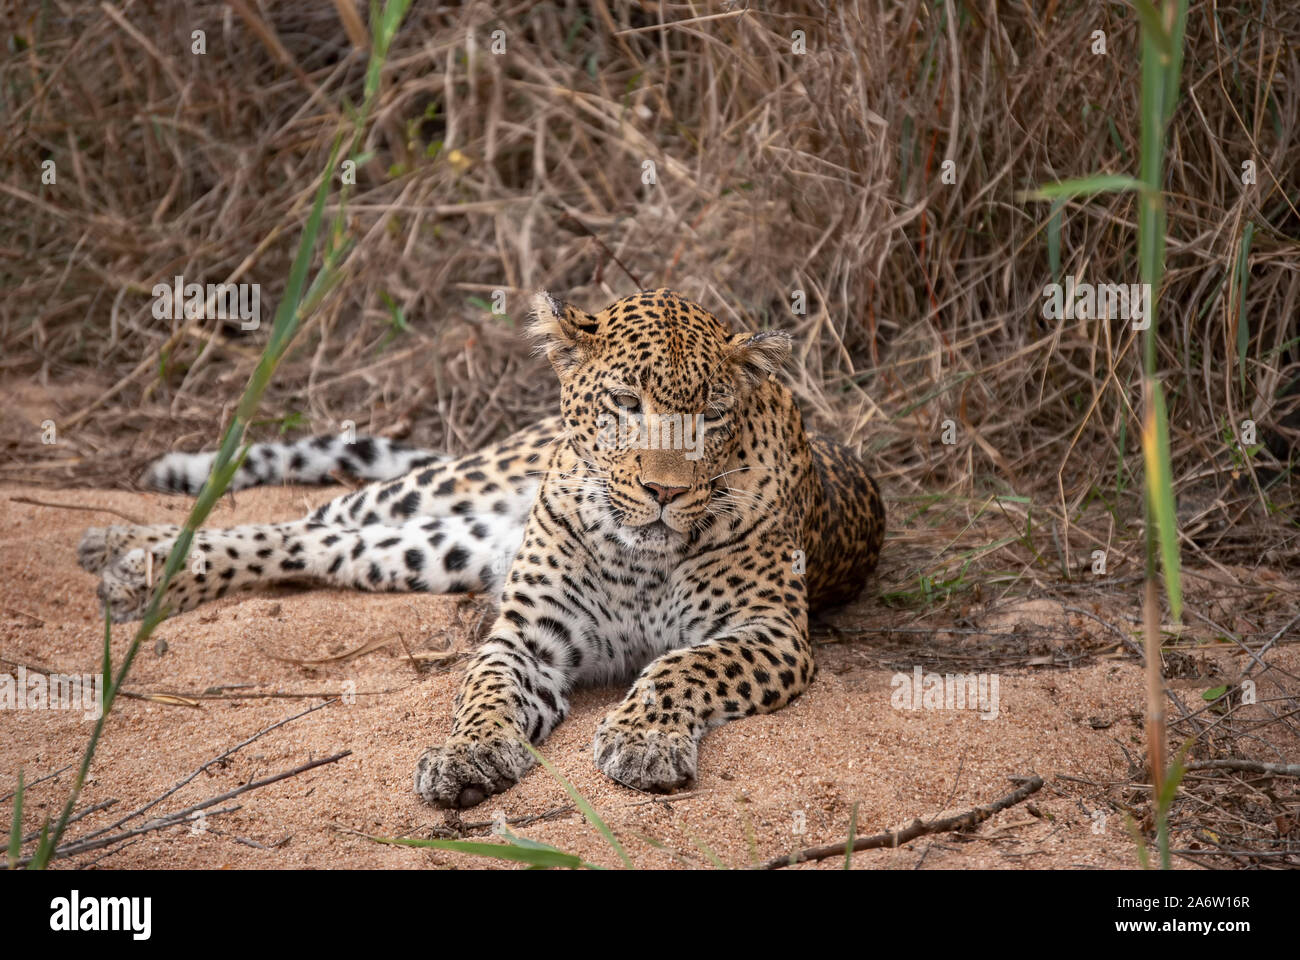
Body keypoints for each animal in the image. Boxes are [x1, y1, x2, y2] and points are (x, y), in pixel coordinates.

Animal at [78, 289, 885, 808]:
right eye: (625, 403)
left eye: (713, 416)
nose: (664, 491)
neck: (639, 555)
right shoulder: (527, 636)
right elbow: (486, 691)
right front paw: (467, 754)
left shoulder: (771, 632)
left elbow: (682, 666)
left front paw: (645, 739)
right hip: (445, 488)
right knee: (314, 514)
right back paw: (124, 550)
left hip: (432, 550)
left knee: (322, 540)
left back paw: (135, 569)